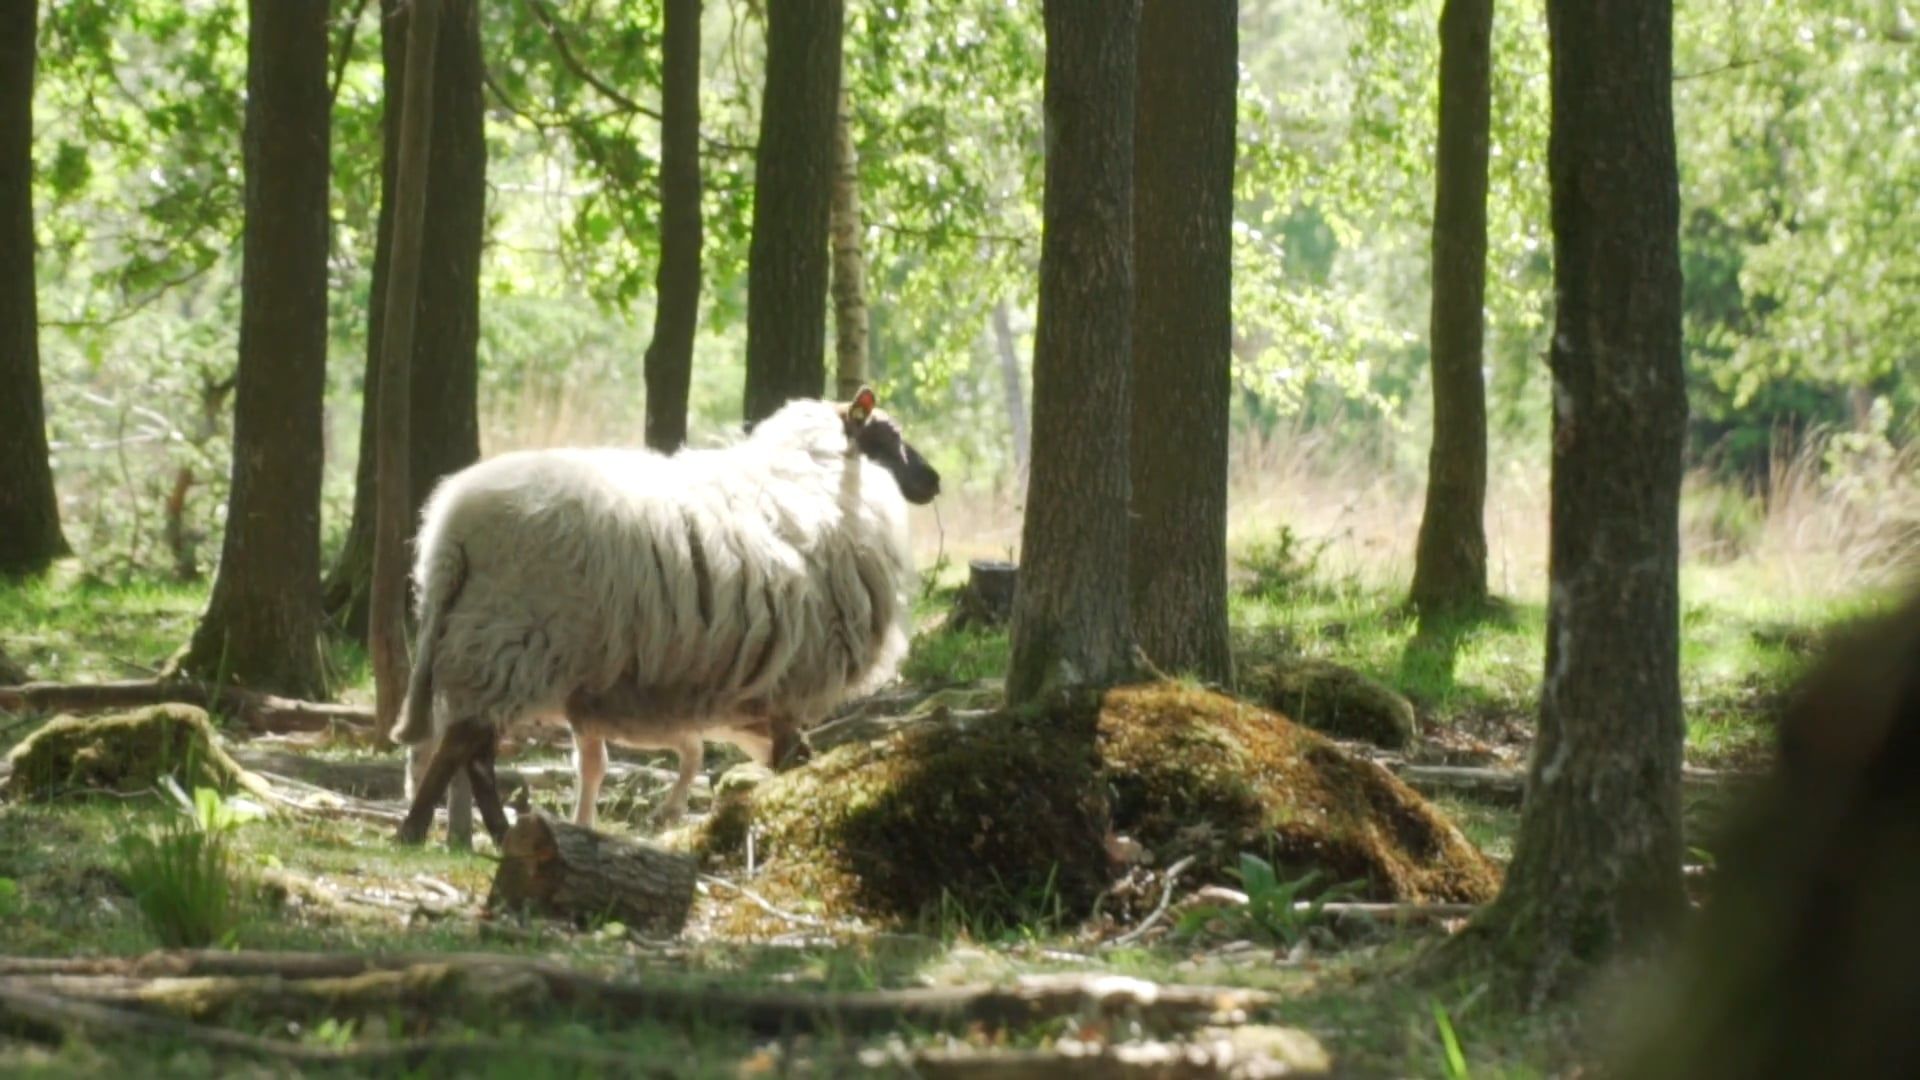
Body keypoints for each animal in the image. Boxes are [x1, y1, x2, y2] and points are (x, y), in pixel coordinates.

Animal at [392, 387, 941, 847]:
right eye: (888, 435)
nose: (933, 481)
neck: (818, 475)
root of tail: (449, 532)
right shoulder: (792, 680)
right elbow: (790, 759)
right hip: (510, 643)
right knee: (464, 746)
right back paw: (424, 830)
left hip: (486, 647)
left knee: (473, 751)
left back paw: (483, 832)